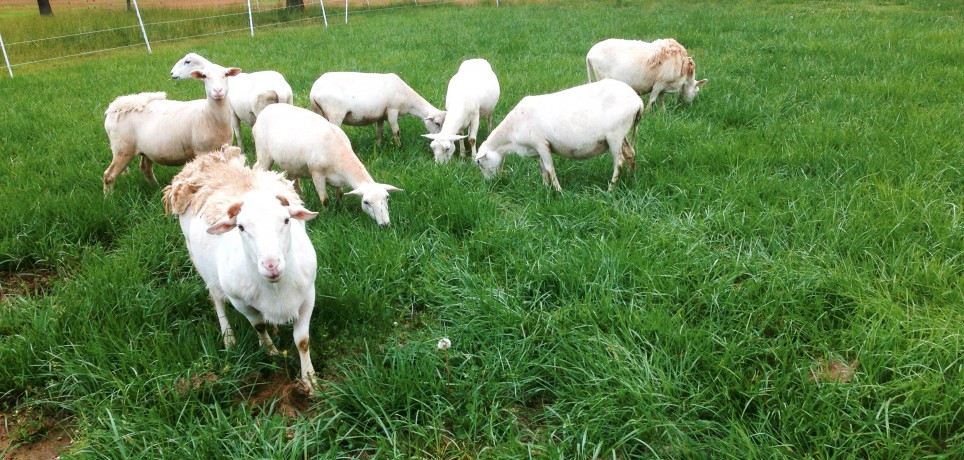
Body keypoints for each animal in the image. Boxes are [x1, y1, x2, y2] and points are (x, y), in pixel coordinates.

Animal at [102, 63, 242, 193]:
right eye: (204, 76)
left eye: (226, 75)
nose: (218, 91)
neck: (208, 114)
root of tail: (114, 108)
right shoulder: (202, 151)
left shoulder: (224, 148)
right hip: (123, 149)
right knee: (109, 175)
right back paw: (109, 198)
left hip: (146, 150)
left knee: (145, 168)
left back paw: (156, 188)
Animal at [162, 145, 320, 391]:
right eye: (241, 227)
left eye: (286, 220)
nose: (271, 265)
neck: (275, 288)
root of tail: (208, 159)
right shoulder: (241, 302)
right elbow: (259, 326)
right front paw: (271, 352)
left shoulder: (307, 295)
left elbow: (302, 341)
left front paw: (310, 380)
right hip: (201, 266)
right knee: (216, 298)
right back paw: (229, 339)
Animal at [252, 103, 403, 227]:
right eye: (366, 202)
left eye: (387, 198)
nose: (385, 224)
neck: (339, 152)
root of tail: (266, 109)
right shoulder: (317, 174)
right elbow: (324, 199)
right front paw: (326, 215)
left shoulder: (338, 179)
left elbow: (340, 194)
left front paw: (339, 208)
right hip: (264, 154)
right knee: (257, 169)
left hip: (291, 162)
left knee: (292, 180)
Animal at [308, 71, 445, 146]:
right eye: (437, 123)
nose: (441, 139)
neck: (408, 98)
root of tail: (313, 91)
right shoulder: (392, 110)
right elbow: (396, 131)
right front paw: (399, 147)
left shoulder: (381, 115)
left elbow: (379, 132)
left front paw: (378, 146)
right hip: (335, 114)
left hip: (319, 112)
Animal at [474, 79, 643, 192]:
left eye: (479, 163)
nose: (490, 184)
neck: (511, 134)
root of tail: (638, 102)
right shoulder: (538, 147)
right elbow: (542, 167)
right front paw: (545, 188)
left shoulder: (541, 143)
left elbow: (549, 168)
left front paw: (558, 191)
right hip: (622, 135)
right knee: (630, 154)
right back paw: (631, 177)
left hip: (615, 134)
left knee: (618, 162)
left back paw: (610, 189)